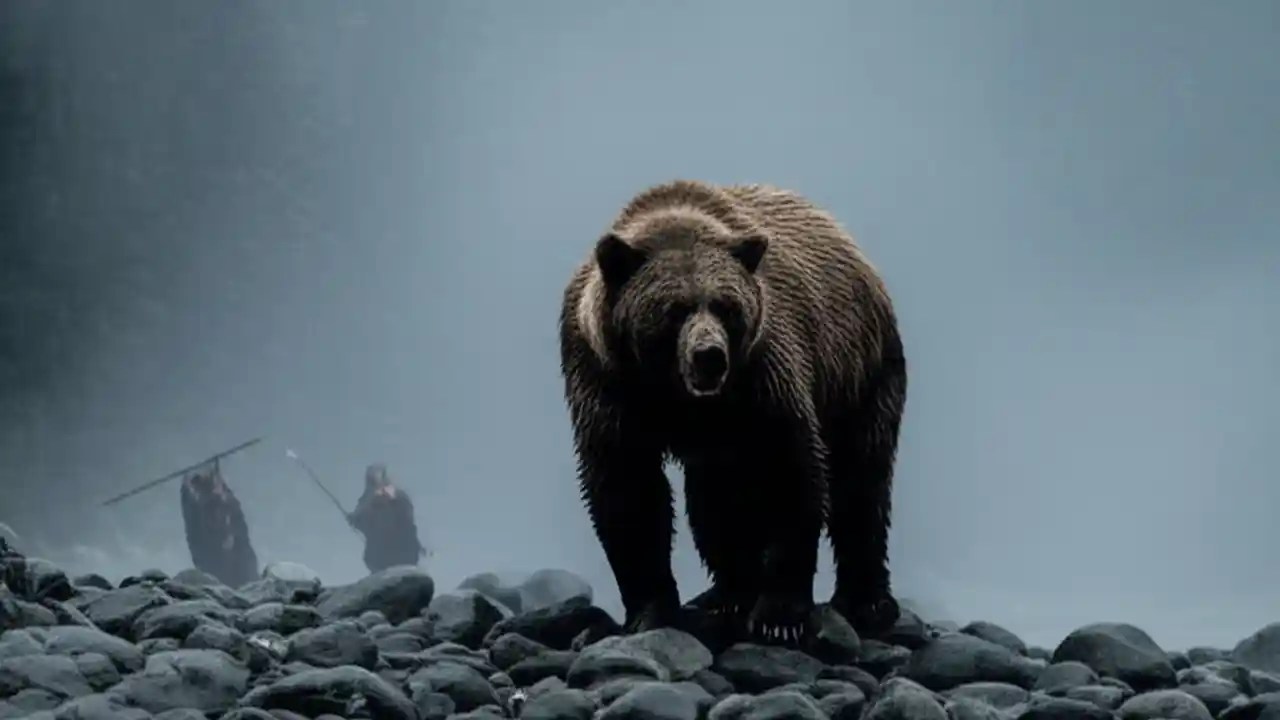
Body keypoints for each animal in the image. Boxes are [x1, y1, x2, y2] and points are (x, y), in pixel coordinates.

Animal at [558, 179, 907, 644]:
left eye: (726, 306)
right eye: (674, 310)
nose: (709, 356)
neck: (677, 395)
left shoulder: (764, 372)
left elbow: (789, 470)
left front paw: (779, 616)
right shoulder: (606, 381)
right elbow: (628, 489)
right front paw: (650, 612)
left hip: (860, 371)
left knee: (861, 481)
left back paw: (867, 600)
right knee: (713, 498)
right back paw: (728, 592)